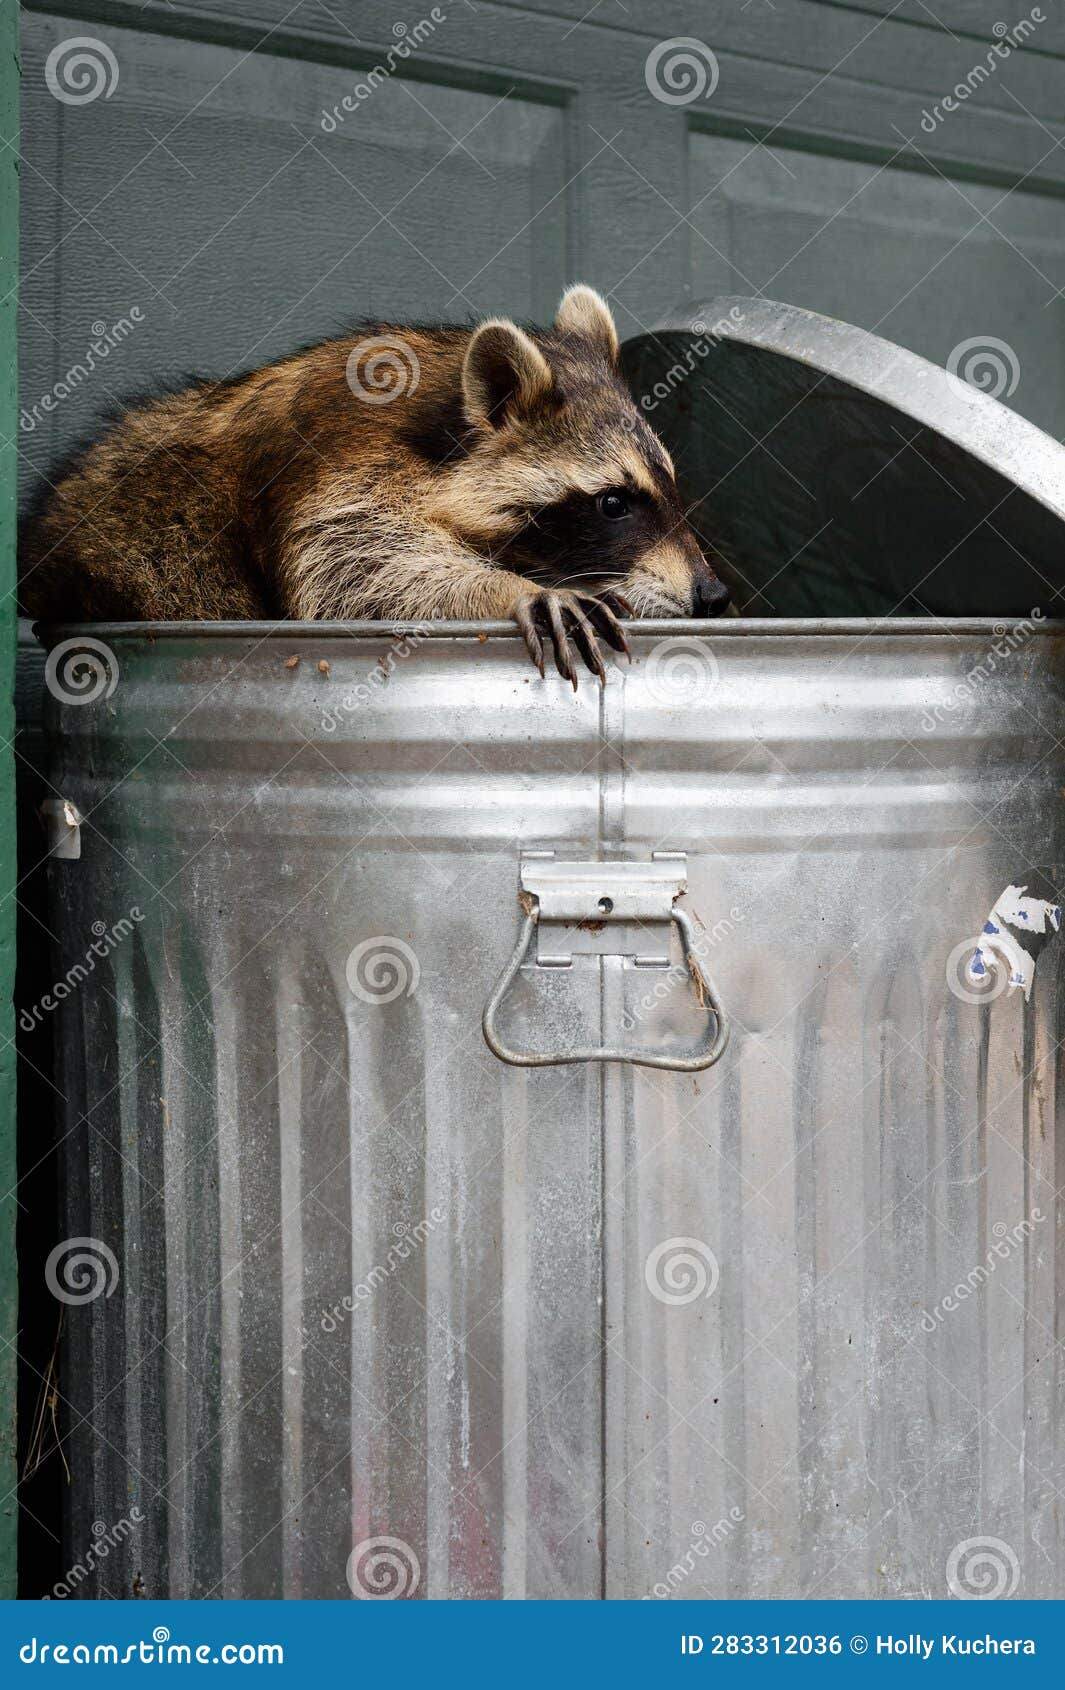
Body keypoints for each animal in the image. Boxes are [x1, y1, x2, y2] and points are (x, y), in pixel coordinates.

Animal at [20, 285, 730, 685]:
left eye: (670, 487)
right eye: (614, 503)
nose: (714, 594)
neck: (442, 418)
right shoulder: (337, 468)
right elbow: (352, 569)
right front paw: (513, 588)